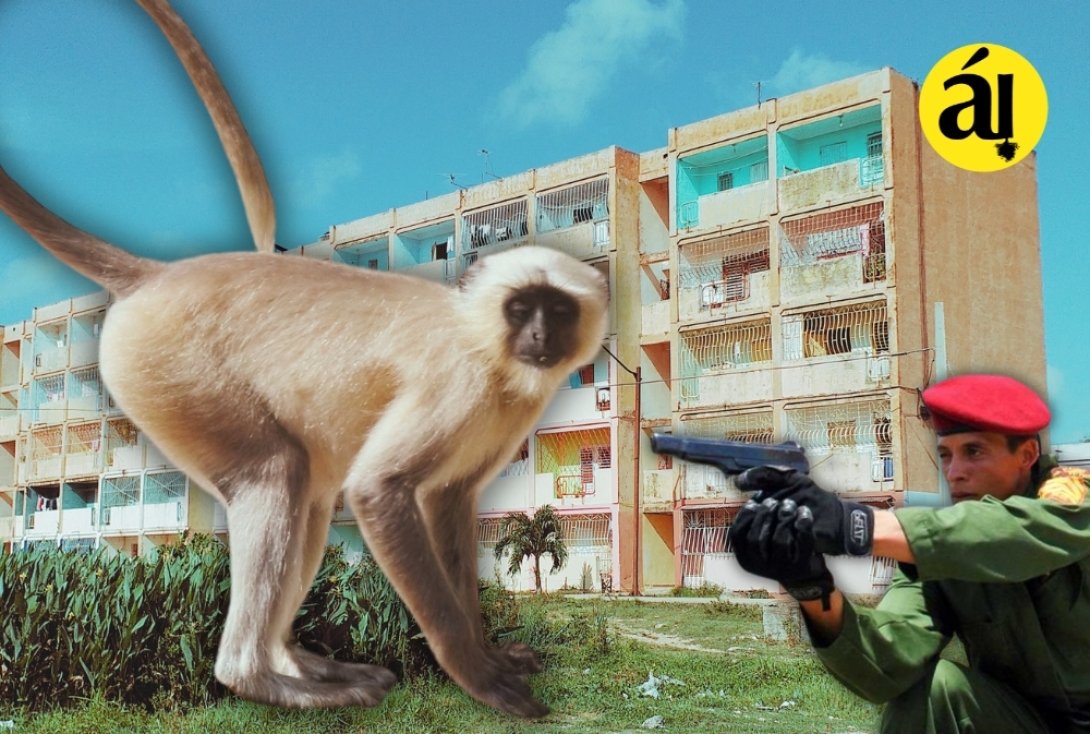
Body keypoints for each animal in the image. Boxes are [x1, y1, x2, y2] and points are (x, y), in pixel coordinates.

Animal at [0, 0, 608, 719]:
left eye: (558, 311)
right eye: (522, 308)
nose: (539, 338)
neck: (484, 343)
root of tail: (159, 276)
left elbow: (449, 501)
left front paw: (487, 655)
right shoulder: (457, 383)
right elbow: (378, 490)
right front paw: (477, 675)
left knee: (310, 495)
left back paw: (297, 662)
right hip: (169, 372)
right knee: (279, 473)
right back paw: (261, 677)